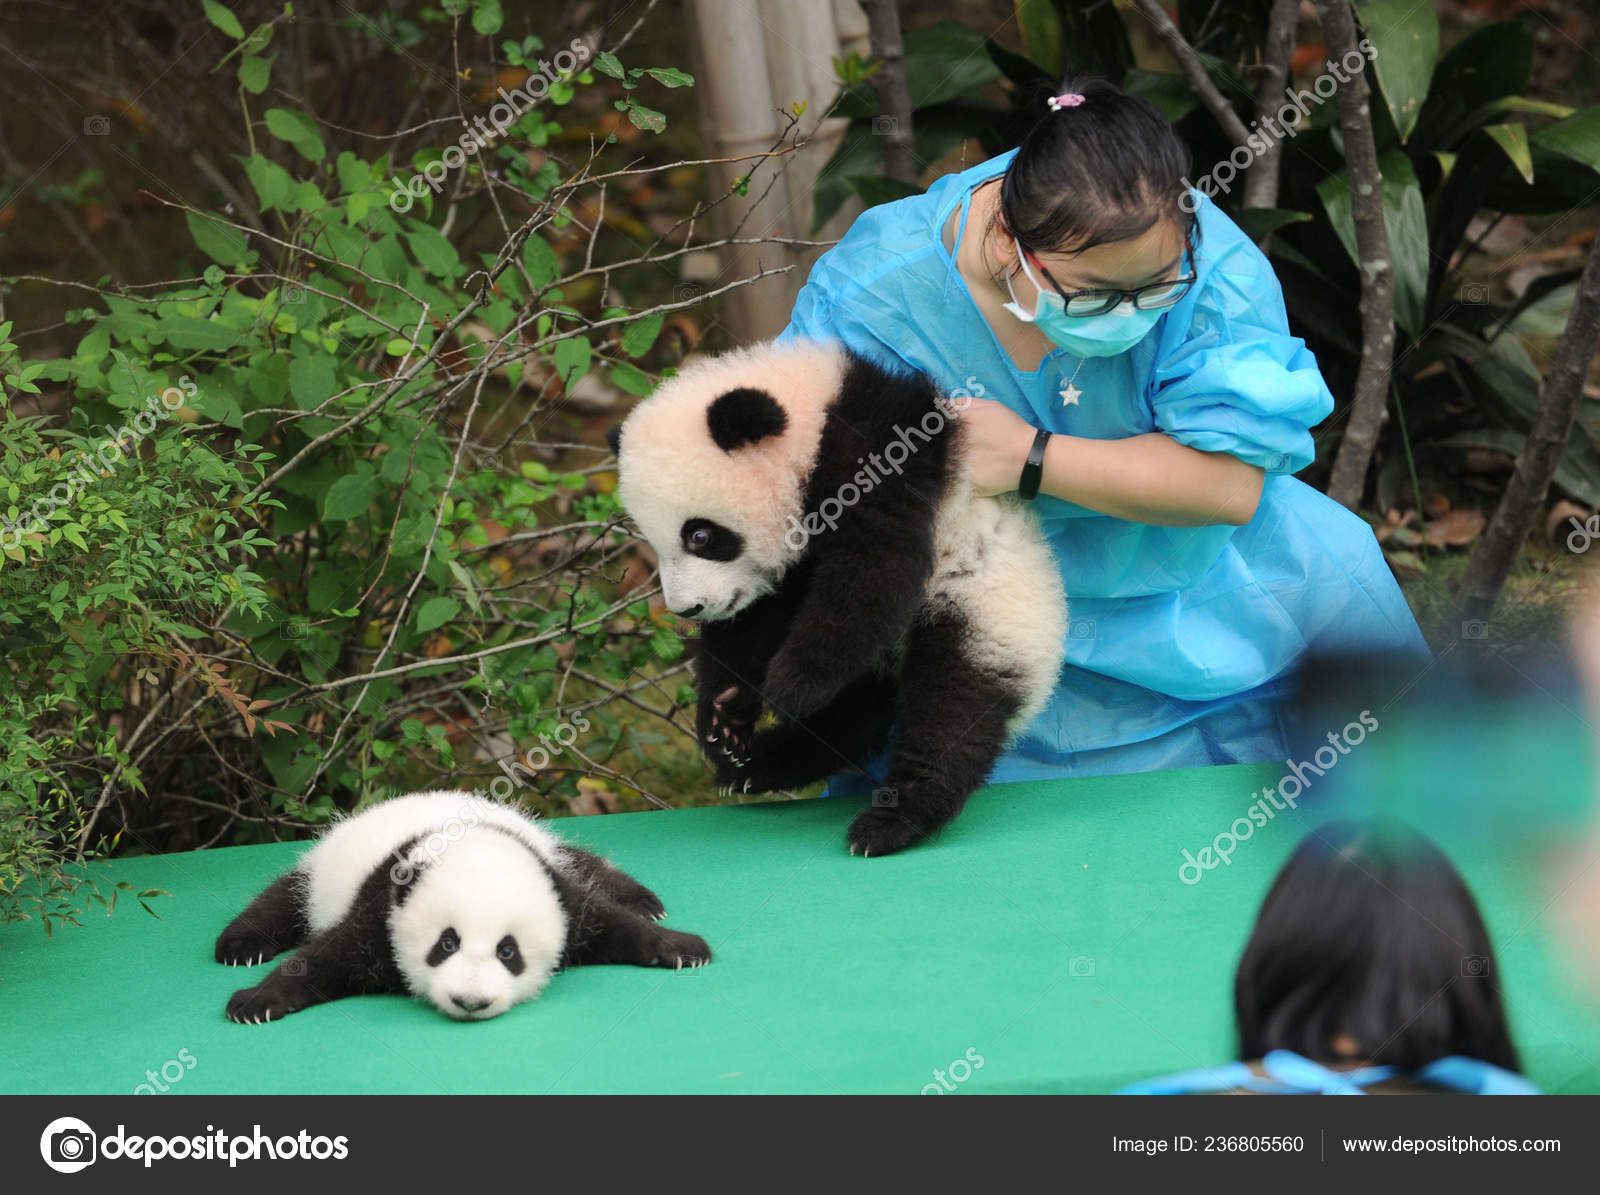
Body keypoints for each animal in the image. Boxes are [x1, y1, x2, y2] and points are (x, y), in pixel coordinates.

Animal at [215, 790, 711, 1023]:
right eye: (446, 944)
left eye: (508, 951)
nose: (470, 1001)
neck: (469, 844)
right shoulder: (381, 910)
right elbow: (320, 959)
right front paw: (257, 1001)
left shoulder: (560, 894)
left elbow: (609, 921)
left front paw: (681, 947)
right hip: (320, 874)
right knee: (282, 899)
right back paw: (241, 945)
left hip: (546, 843)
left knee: (587, 864)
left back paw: (644, 900)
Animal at [609, 339, 1068, 857]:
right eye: (654, 541)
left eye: (700, 536)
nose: (688, 608)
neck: (815, 415)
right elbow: (759, 616)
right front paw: (725, 716)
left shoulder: (883, 457)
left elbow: (872, 571)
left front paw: (789, 687)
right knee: (855, 718)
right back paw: (758, 766)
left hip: (983, 611)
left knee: (951, 711)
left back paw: (894, 820)